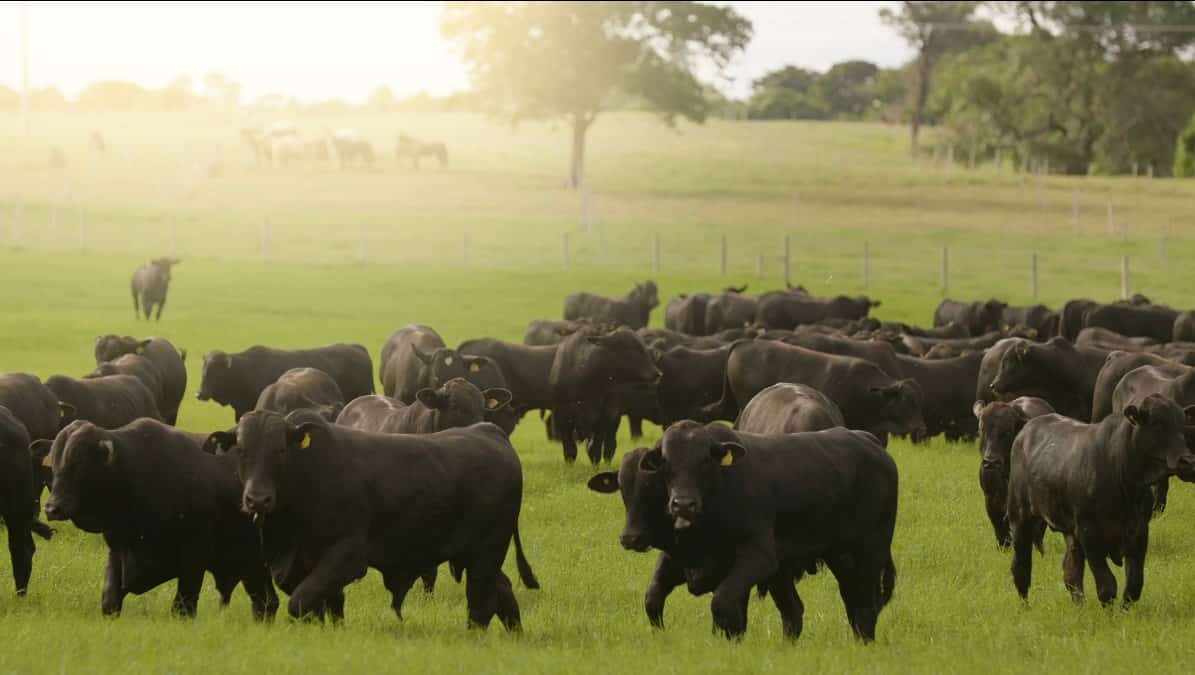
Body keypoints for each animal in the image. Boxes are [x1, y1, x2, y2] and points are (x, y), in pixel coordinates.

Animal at [38, 419, 278, 618]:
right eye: (54, 464)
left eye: (79, 464)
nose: (52, 508)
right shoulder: (118, 553)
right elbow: (110, 602)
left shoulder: (194, 555)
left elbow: (183, 607)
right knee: (267, 603)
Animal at [206, 410, 538, 628]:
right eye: (241, 451)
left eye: (280, 450)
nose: (257, 499)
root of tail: (488, 431)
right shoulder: (303, 563)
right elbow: (324, 607)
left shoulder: (348, 556)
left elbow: (300, 602)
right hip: (478, 556)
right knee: (503, 591)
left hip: (485, 553)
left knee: (481, 604)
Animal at [588, 422, 898, 641]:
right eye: (665, 464)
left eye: (704, 461)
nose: (682, 504)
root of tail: (870, 443)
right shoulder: (676, 560)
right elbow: (653, 600)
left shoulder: (756, 559)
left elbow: (724, 606)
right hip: (834, 559)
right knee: (807, 610)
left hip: (868, 553)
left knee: (864, 608)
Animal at [1007, 395, 1195, 606]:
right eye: (1157, 423)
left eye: (1182, 425)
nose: (1187, 461)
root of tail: (1027, 429)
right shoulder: (1089, 532)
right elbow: (1107, 584)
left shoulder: (1139, 531)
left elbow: (1134, 584)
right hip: (1019, 517)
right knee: (1021, 567)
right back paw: (1025, 605)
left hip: (1070, 532)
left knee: (1071, 572)